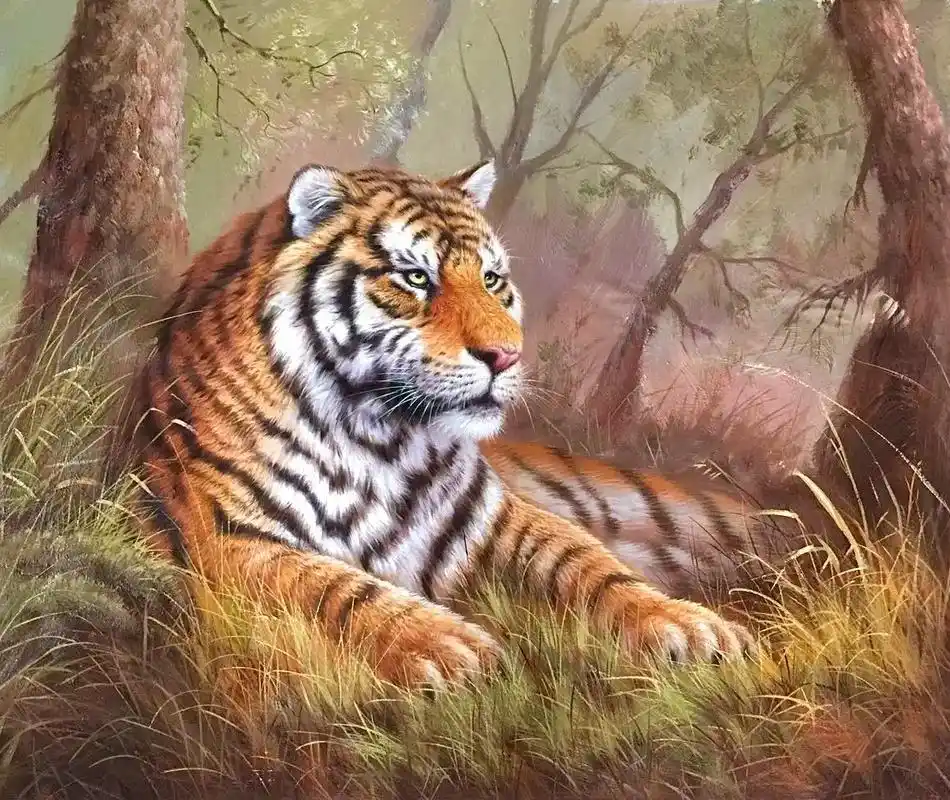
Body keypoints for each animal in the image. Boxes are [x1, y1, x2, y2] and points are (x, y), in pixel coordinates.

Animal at [131, 159, 757, 689]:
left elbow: (590, 563)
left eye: (492, 279)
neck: (379, 438)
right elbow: (340, 587)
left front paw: (688, 626)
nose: (507, 355)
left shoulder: (494, 520)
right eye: (414, 277)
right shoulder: (229, 537)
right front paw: (451, 647)